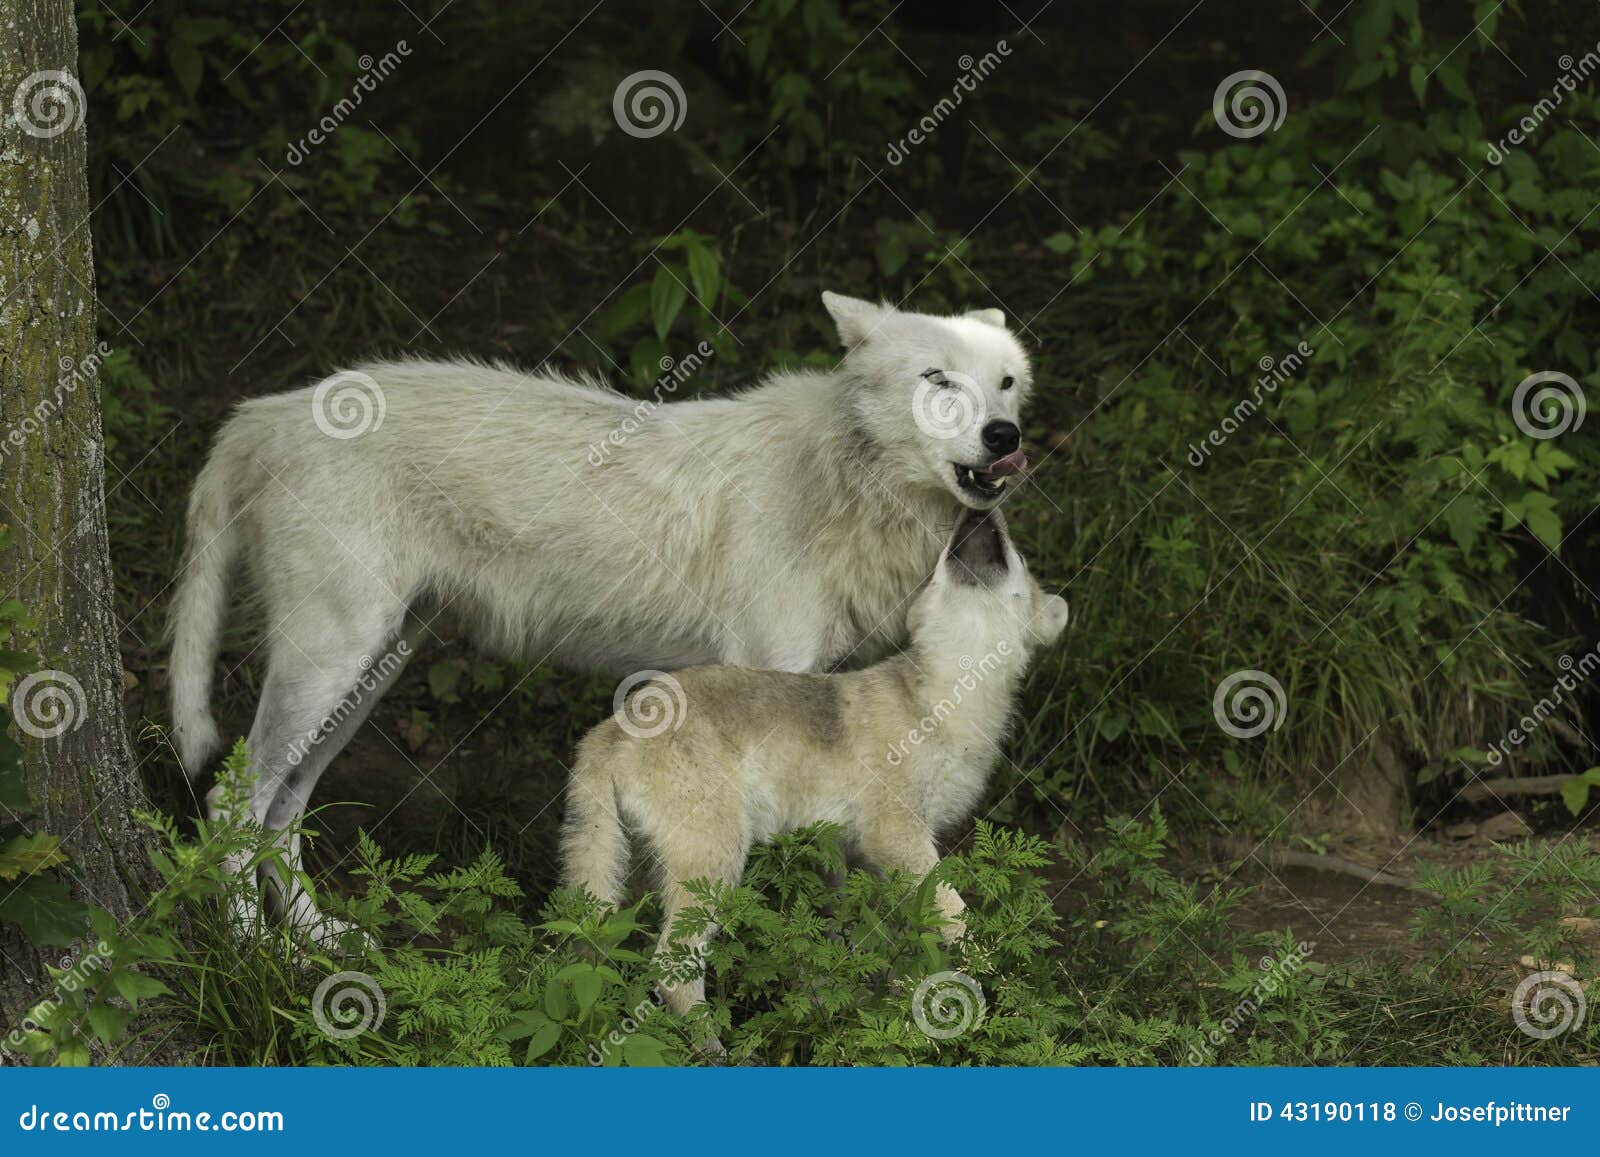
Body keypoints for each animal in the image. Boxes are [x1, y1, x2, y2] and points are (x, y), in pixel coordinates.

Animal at [168, 292, 1034, 937]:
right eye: (937, 378)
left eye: (1005, 382)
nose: (1006, 436)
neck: (844, 484)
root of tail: (258, 414)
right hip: (331, 659)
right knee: (230, 802)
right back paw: (255, 956)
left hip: (372, 668)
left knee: (283, 807)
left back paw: (316, 942)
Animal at [560, 505, 1068, 1014]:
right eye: (940, 563)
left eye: (1016, 555)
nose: (977, 513)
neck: (948, 698)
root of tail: (607, 731)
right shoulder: (897, 836)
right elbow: (960, 919)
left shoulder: (870, 856)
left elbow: (892, 939)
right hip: (715, 864)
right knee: (671, 970)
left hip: (641, 872)